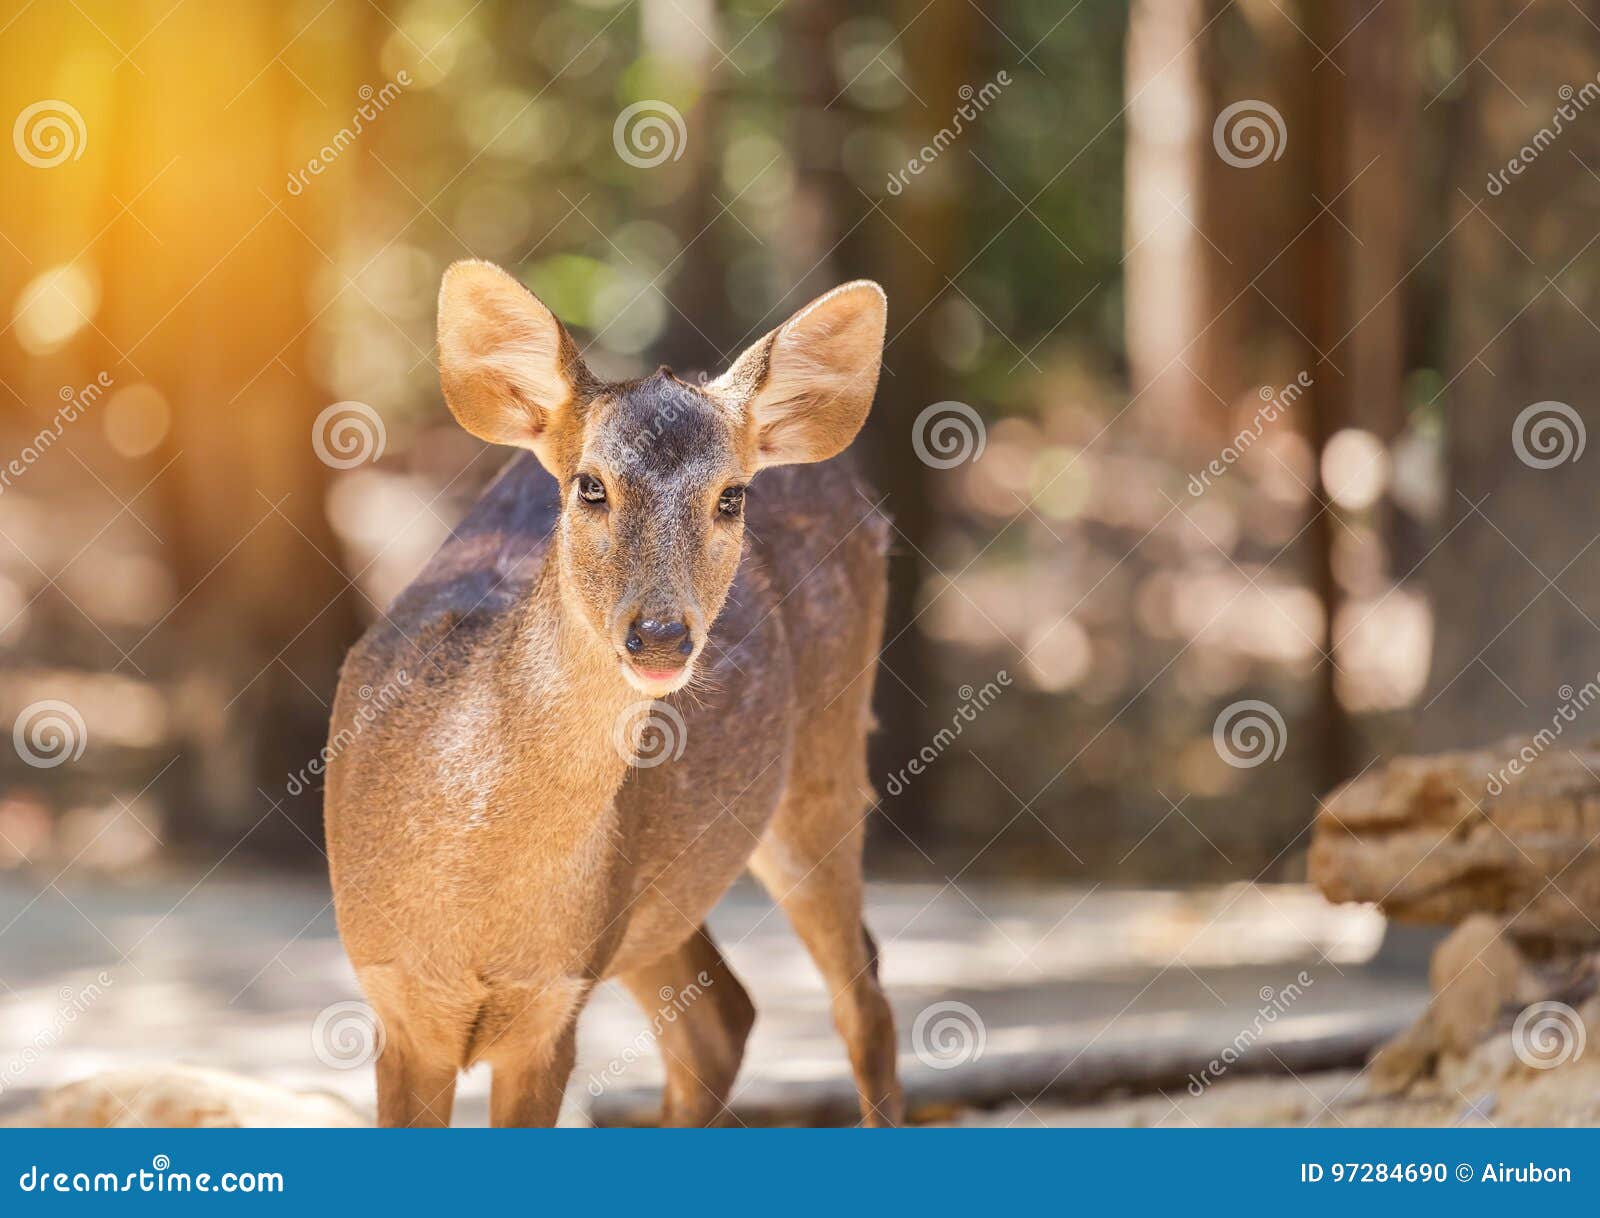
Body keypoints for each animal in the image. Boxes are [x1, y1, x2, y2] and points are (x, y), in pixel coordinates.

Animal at [324, 260, 902, 1128]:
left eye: (732, 497)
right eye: (590, 487)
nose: (660, 635)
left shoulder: (556, 1002)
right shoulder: (394, 997)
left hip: (820, 769)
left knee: (861, 997)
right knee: (723, 1017)